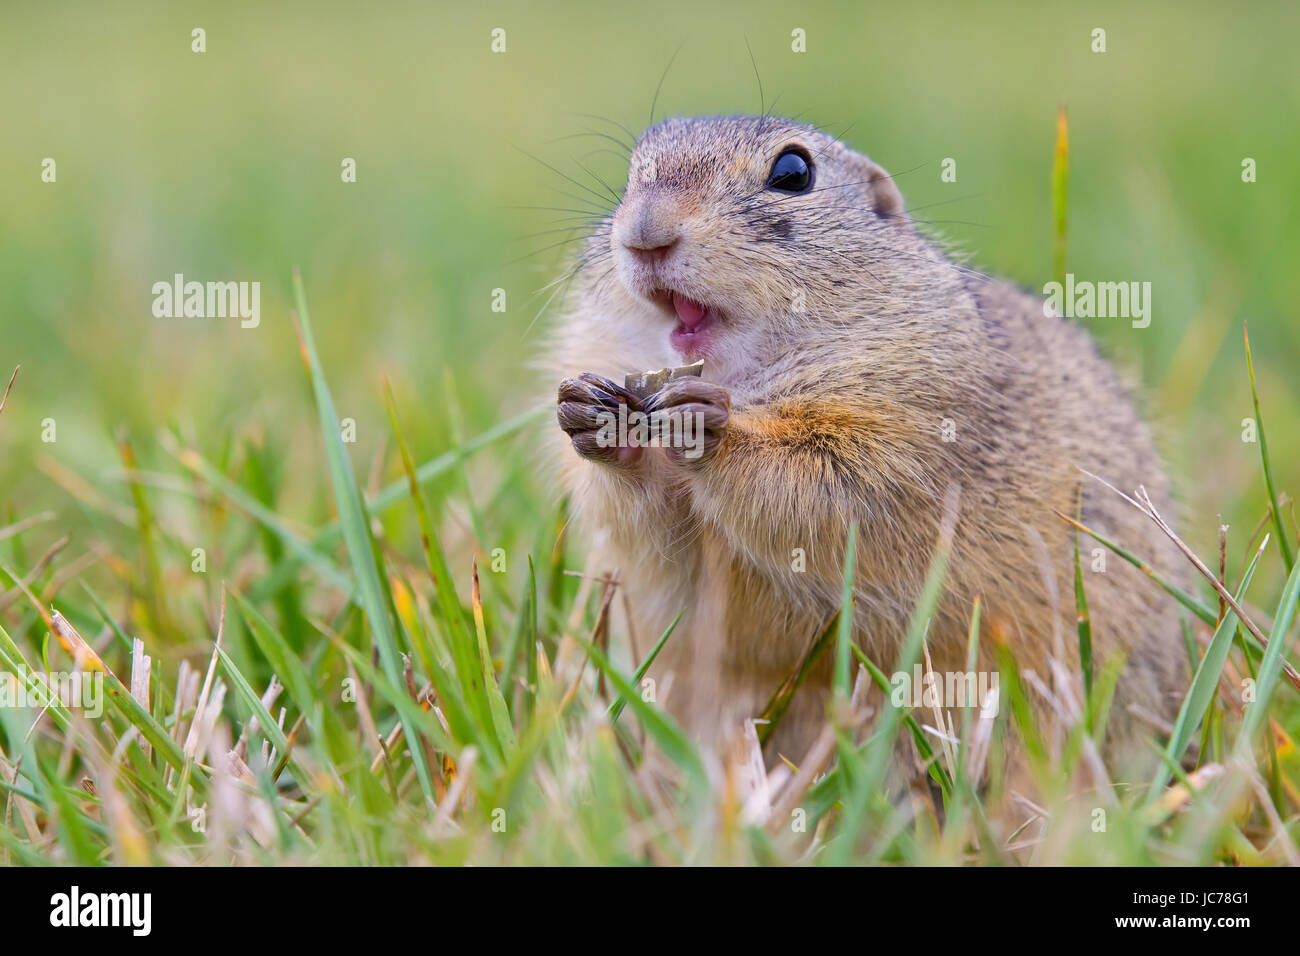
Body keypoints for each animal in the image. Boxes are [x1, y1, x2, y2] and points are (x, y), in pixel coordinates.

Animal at [550, 115, 1189, 782]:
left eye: (794, 173)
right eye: (631, 173)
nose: (644, 232)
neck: (741, 377)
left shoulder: (914, 419)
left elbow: (834, 488)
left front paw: (710, 428)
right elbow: (652, 541)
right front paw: (589, 414)